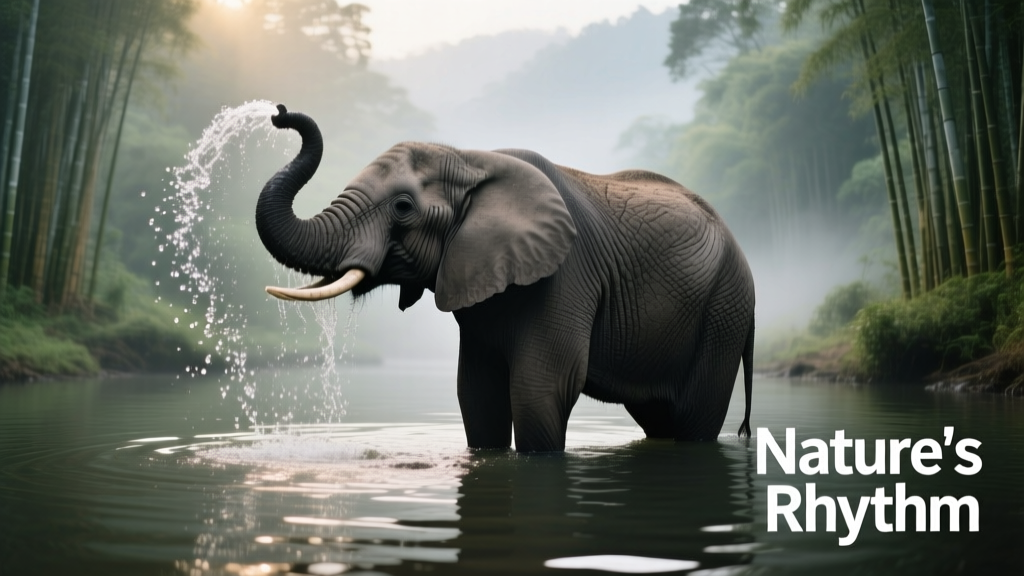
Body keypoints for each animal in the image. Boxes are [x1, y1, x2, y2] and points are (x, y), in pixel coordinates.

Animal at [255, 104, 755, 452]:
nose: (279, 113)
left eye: (402, 207)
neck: (471, 158)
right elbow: (477, 392)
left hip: (725, 309)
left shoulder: (566, 273)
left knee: (694, 417)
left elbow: (540, 389)